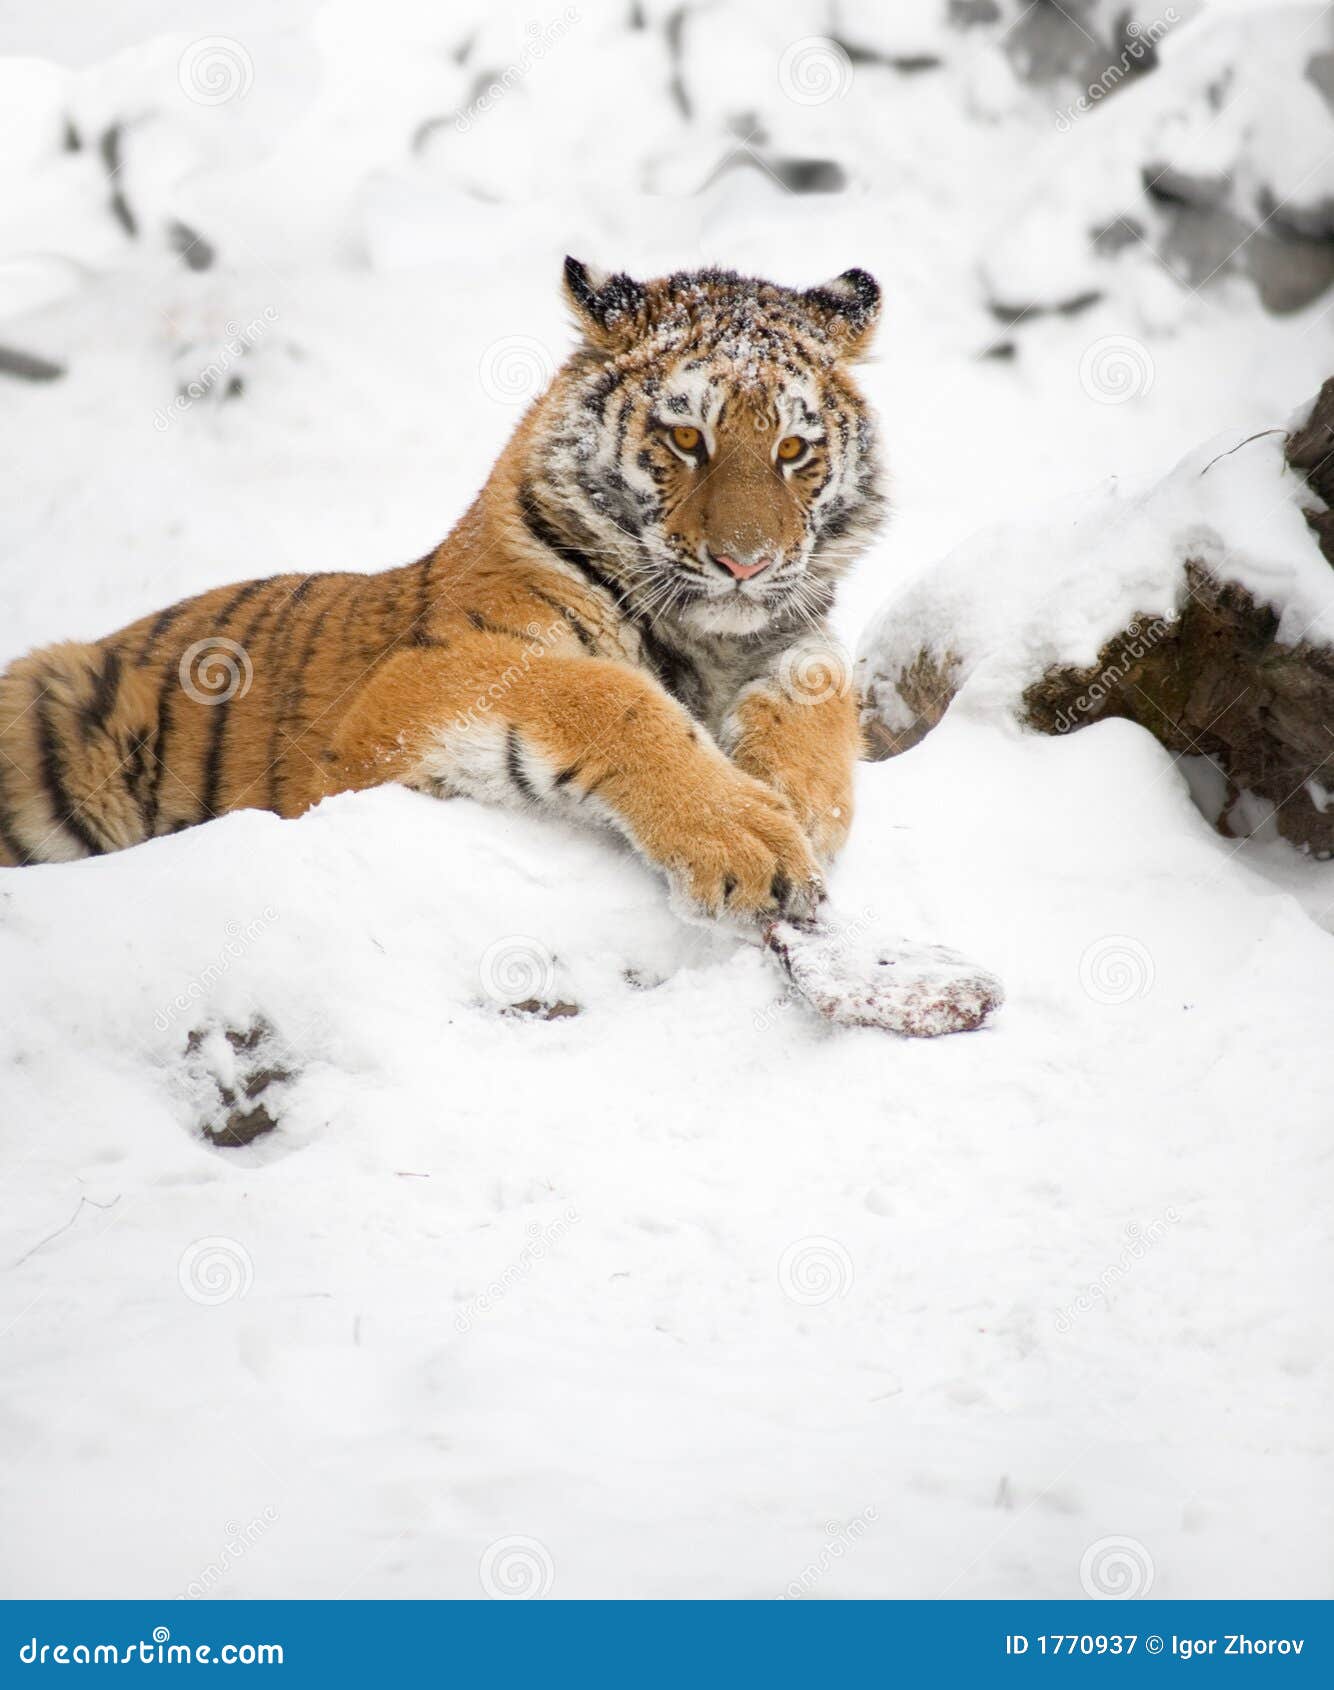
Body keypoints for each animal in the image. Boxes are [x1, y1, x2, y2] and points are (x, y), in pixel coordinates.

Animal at [0, 259, 886, 928]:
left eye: (793, 449)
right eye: (686, 438)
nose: (746, 563)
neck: (704, 638)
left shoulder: (792, 636)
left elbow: (817, 677)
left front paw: (806, 804)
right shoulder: (411, 688)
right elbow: (606, 694)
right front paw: (750, 841)